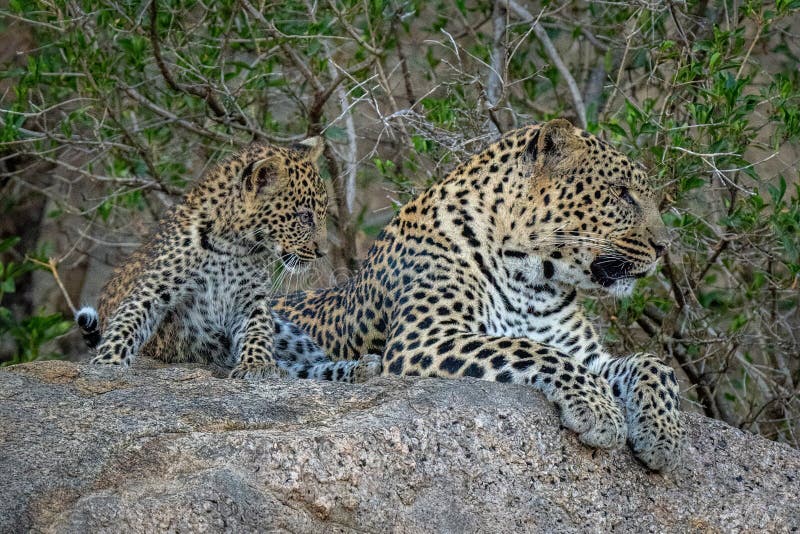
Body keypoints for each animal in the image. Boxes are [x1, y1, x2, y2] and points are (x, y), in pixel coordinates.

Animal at [75, 137, 380, 383]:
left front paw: (257, 365)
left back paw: (361, 368)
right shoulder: (154, 290)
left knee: (309, 363)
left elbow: (257, 330)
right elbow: (128, 322)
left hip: (288, 331)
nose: (322, 252)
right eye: (304, 216)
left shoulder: (249, 301)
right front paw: (107, 363)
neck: (233, 247)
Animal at [272, 119, 686, 471]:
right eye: (621, 193)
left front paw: (663, 436)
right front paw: (599, 410)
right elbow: (529, 349)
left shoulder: (588, 354)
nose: (664, 246)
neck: (535, 282)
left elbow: (653, 363)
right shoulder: (423, 339)